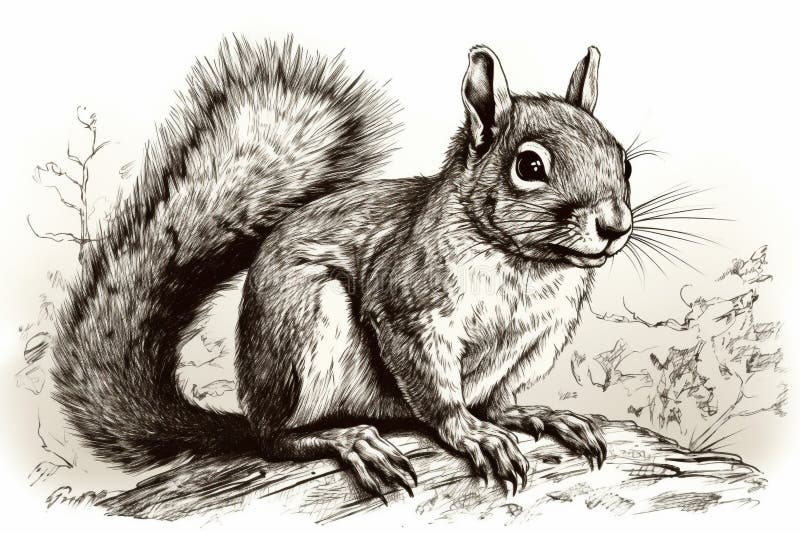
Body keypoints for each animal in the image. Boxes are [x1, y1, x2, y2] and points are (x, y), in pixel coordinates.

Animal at [52, 37, 632, 498]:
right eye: (529, 165)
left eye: (624, 161)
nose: (614, 225)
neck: (528, 267)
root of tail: (252, 408)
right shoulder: (407, 306)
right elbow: (434, 388)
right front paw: (471, 433)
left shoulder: (542, 337)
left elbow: (500, 395)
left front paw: (530, 414)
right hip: (307, 330)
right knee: (275, 440)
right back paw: (349, 440)